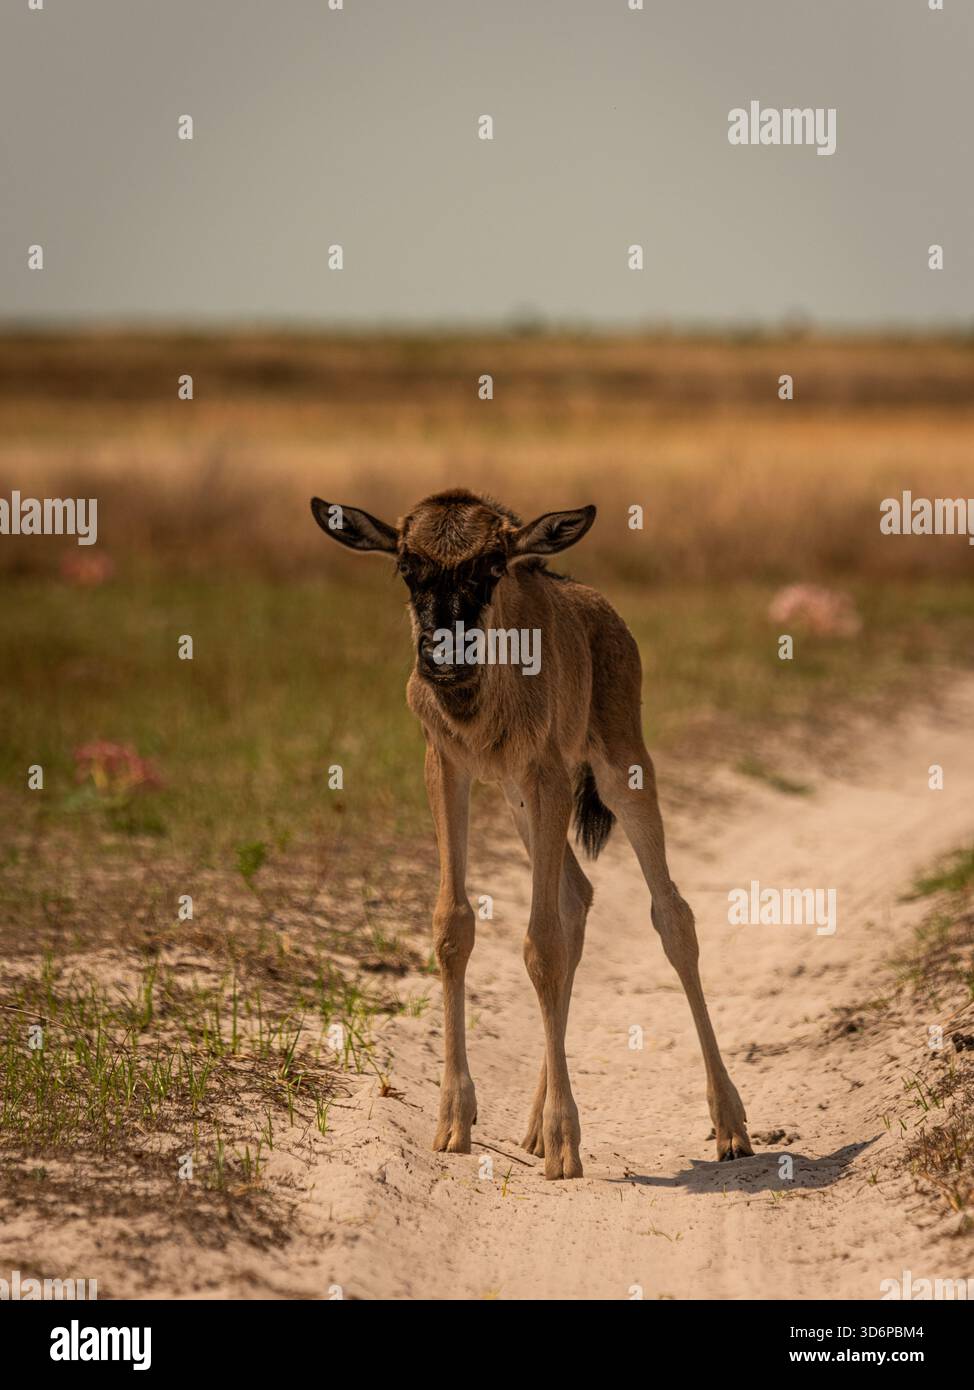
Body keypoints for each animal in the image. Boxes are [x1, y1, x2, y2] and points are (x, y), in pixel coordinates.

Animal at [311, 489, 752, 1179]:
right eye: (407, 566)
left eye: (493, 565)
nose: (441, 659)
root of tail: (602, 609)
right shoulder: (449, 764)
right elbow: (453, 924)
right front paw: (454, 1122)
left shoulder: (546, 772)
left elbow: (540, 944)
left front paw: (565, 1141)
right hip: (520, 798)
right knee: (576, 897)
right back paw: (536, 1124)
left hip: (620, 768)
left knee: (671, 915)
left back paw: (729, 1126)